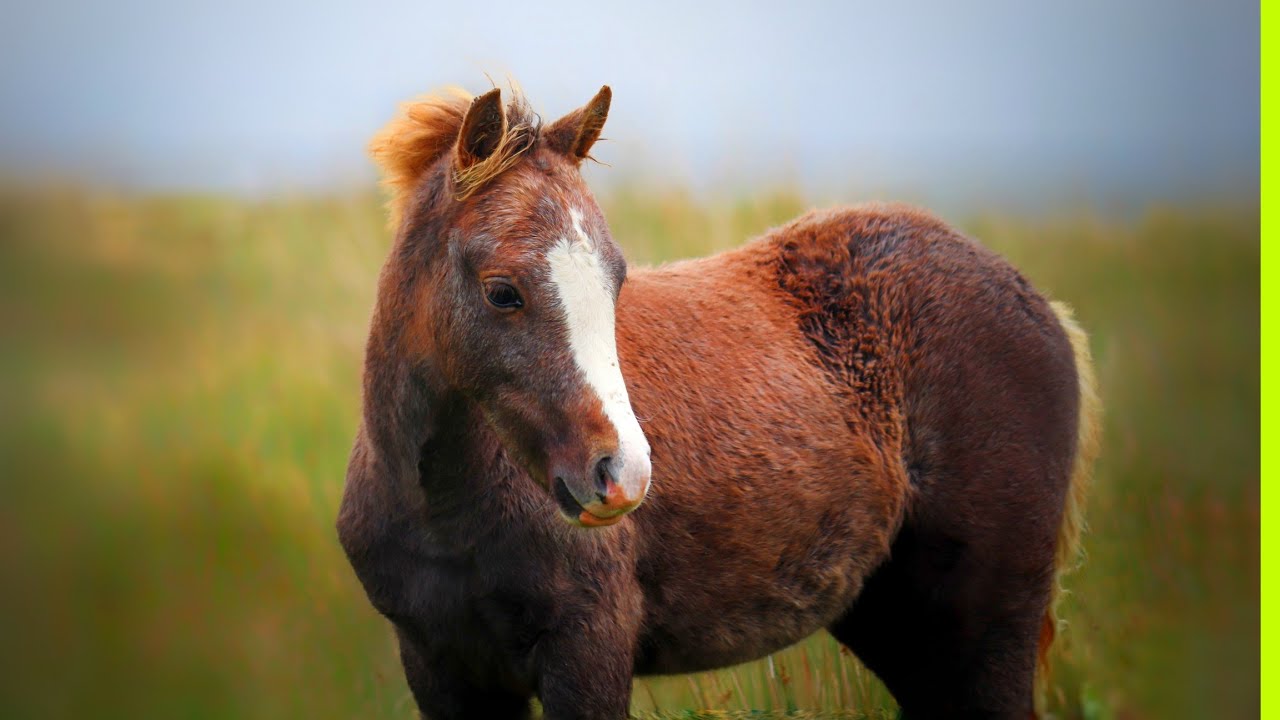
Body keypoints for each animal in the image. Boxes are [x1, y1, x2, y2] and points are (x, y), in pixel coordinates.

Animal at [336, 84, 1102, 720]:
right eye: (502, 292)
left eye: (616, 279)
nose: (622, 476)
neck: (443, 514)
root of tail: (1040, 305)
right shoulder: (440, 667)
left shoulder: (588, 649)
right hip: (898, 624)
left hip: (987, 623)